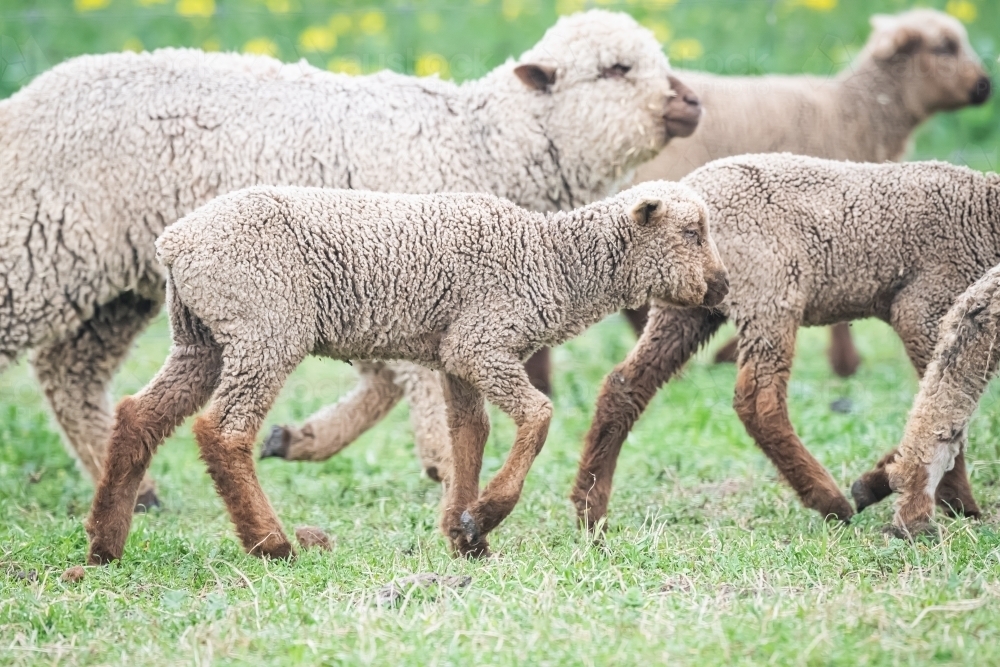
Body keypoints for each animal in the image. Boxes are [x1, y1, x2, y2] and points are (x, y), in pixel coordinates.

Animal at [0, 9, 701, 508]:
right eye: (616, 69)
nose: (692, 102)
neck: (485, 141)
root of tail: (23, 100)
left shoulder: (385, 286)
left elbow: (388, 377)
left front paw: (301, 440)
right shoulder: (409, 270)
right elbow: (413, 381)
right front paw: (446, 468)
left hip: (118, 283)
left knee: (71, 373)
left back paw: (134, 491)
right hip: (37, 248)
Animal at [84, 182, 729, 564]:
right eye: (690, 233)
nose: (722, 288)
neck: (554, 262)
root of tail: (175, 242)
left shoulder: (456, 355)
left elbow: (469, 435)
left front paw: (465, 535)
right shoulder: (482, 342)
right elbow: (540, 415)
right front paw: (486, 514)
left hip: (201, 337)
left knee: (139, 415)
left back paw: (104, 544)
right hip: (264, 327)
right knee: (223, 432)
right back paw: (273, 544)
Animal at [570, 153, 1000, 529]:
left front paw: (885, 479)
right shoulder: (926, 302)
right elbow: (947, 407)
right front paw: (955, 503)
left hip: (691, 306)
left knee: (625, 384)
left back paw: (590, 508)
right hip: (769, 289)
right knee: (758, 402)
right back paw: (830, 501)